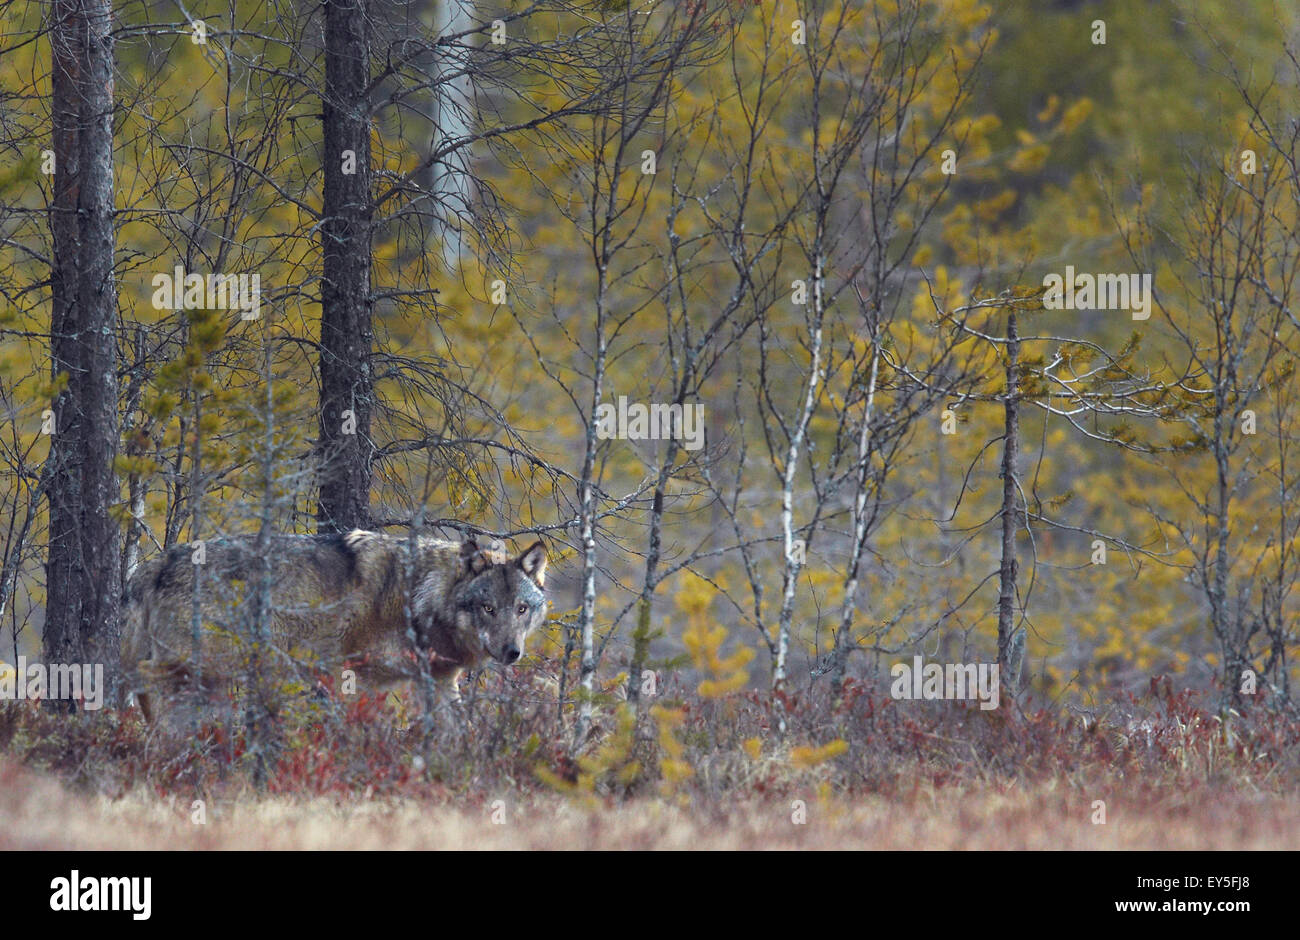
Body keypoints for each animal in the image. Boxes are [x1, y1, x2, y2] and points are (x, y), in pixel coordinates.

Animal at [121, 530, 548, 724]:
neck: (420, 595)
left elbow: (457, 730)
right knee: (141, 676)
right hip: (209, 663)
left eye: (521, 608)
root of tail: (154, 564)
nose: (512, 653)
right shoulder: (351, 674)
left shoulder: (439, 682)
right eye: (488, 608)